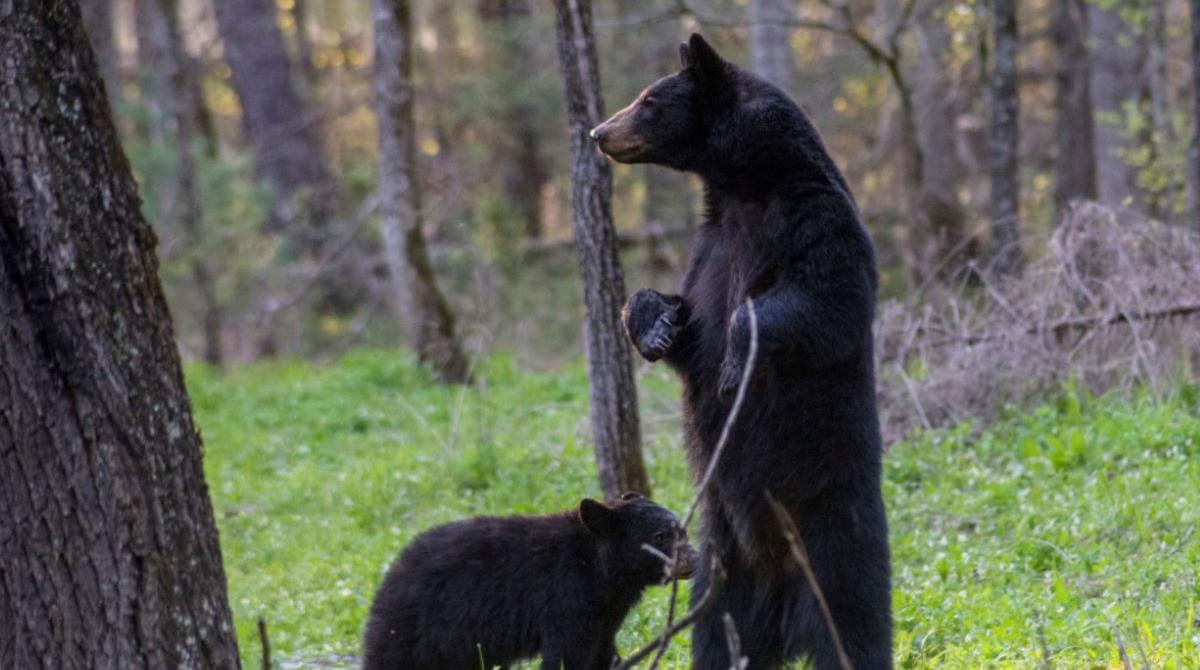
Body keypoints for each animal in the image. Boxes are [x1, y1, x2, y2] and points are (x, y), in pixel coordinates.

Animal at [361, 492, 698, 670]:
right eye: (660, 536)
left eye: (683, 530)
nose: (694, 559)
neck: (600, 572)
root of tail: (388, 576)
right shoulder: (565, 598)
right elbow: (565, 654)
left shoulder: (604, 616)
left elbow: (601, 653)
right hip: (413, 632)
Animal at [591, 33, 892, 670]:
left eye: (650, 100)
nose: (599, 132)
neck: (744, 187)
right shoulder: (711, 246)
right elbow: (688, 323)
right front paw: (653, 324)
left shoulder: (814, 219)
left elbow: (827, 297)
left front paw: (738, 357)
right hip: (720, 560)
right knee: (714, 628)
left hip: (835, 526)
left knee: (851, 615)